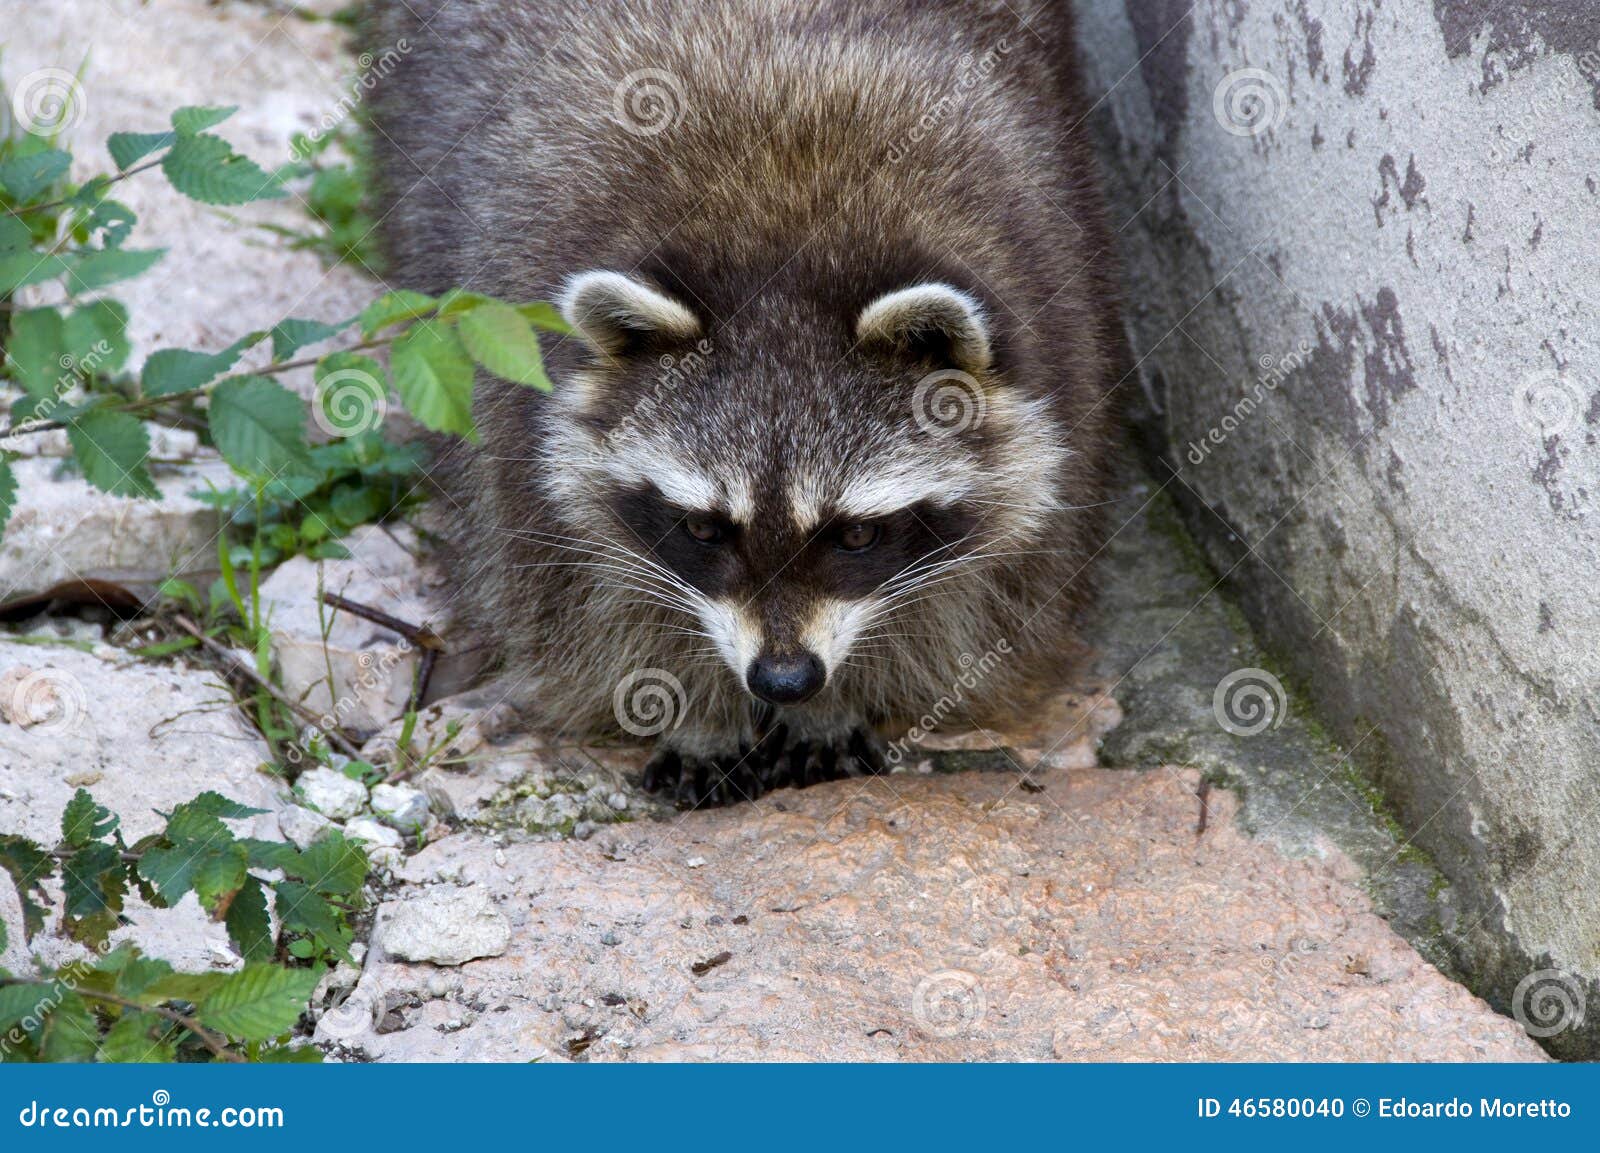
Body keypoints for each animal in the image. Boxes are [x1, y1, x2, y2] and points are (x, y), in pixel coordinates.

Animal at [367, 0, 1123, 806]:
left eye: (857, 534)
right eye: (703, 527)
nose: (785, 680)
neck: (784, 234)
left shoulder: (1057, 346)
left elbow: (966, 600)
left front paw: (837, 704)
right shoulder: (517, 427)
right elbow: (586, 602)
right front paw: (697, 708)